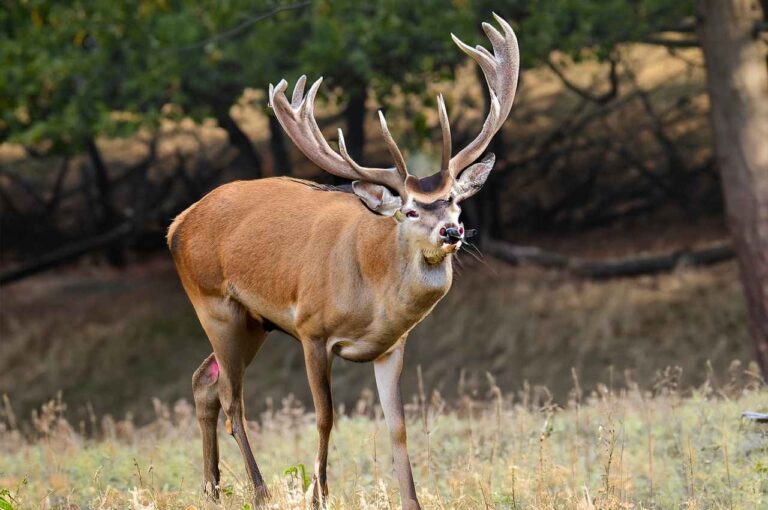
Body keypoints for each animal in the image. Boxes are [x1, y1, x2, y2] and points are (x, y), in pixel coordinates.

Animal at [167, 14, 518, 510]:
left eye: (453, 200)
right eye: (409, 210)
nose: (451, 233)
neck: (371, 296)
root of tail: (176, 225)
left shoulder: (392, 345)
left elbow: (398, 426)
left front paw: (412, 500)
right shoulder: (311, 329)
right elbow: (325, 417)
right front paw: (318, 494)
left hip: (254, 322)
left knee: (205, 382)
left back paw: (212, 489)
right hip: (213, 303)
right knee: (233, 399)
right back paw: (260, 490)